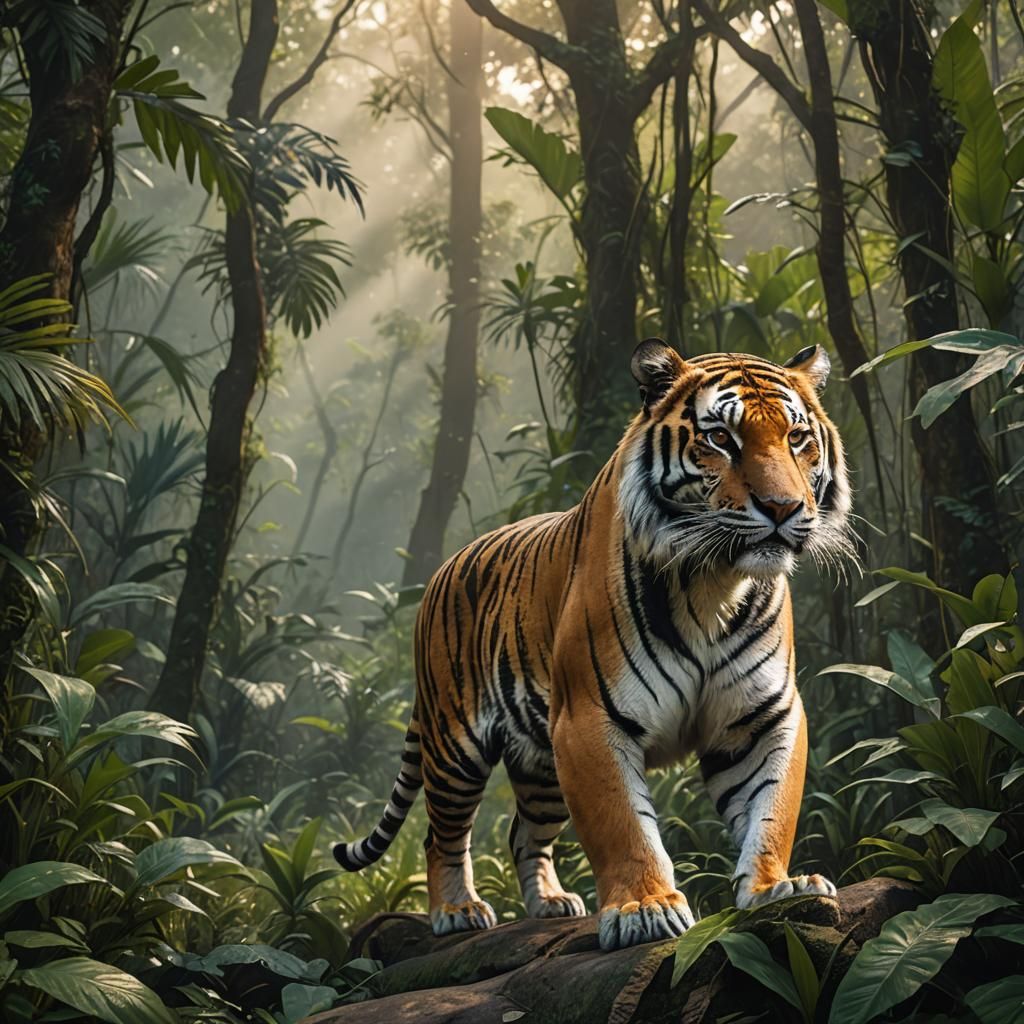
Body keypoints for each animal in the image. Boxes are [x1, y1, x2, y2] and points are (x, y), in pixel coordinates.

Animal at [334, 339, 853, 951]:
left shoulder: (762, 717)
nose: (783, 509)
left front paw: (778, 889)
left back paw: (550, 904)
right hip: (455, 747)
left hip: (541, 766)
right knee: (441, 836)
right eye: (721, 438)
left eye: (797, 438)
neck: (714, 584)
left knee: (522, 833)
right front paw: (644, 909)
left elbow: (771, 809)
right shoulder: (589, 721)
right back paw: (458, 911)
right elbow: (622, 825)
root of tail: (440, 571)